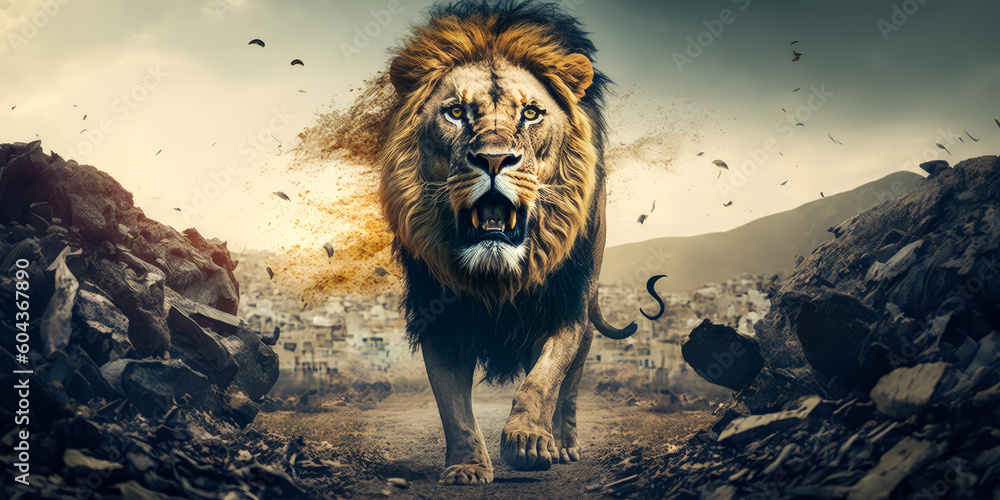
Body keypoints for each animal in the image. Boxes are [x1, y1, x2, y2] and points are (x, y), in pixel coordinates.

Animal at [377, 0, 636, 484]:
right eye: (456, 112)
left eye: (531, 114)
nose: (494, 159)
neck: (495, 277)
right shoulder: (439, 318)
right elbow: (453, 406)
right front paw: (466, 466)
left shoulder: (564, 307)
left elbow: (543, 380)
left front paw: (528, 442)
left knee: (569, 389)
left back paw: (563, 443)